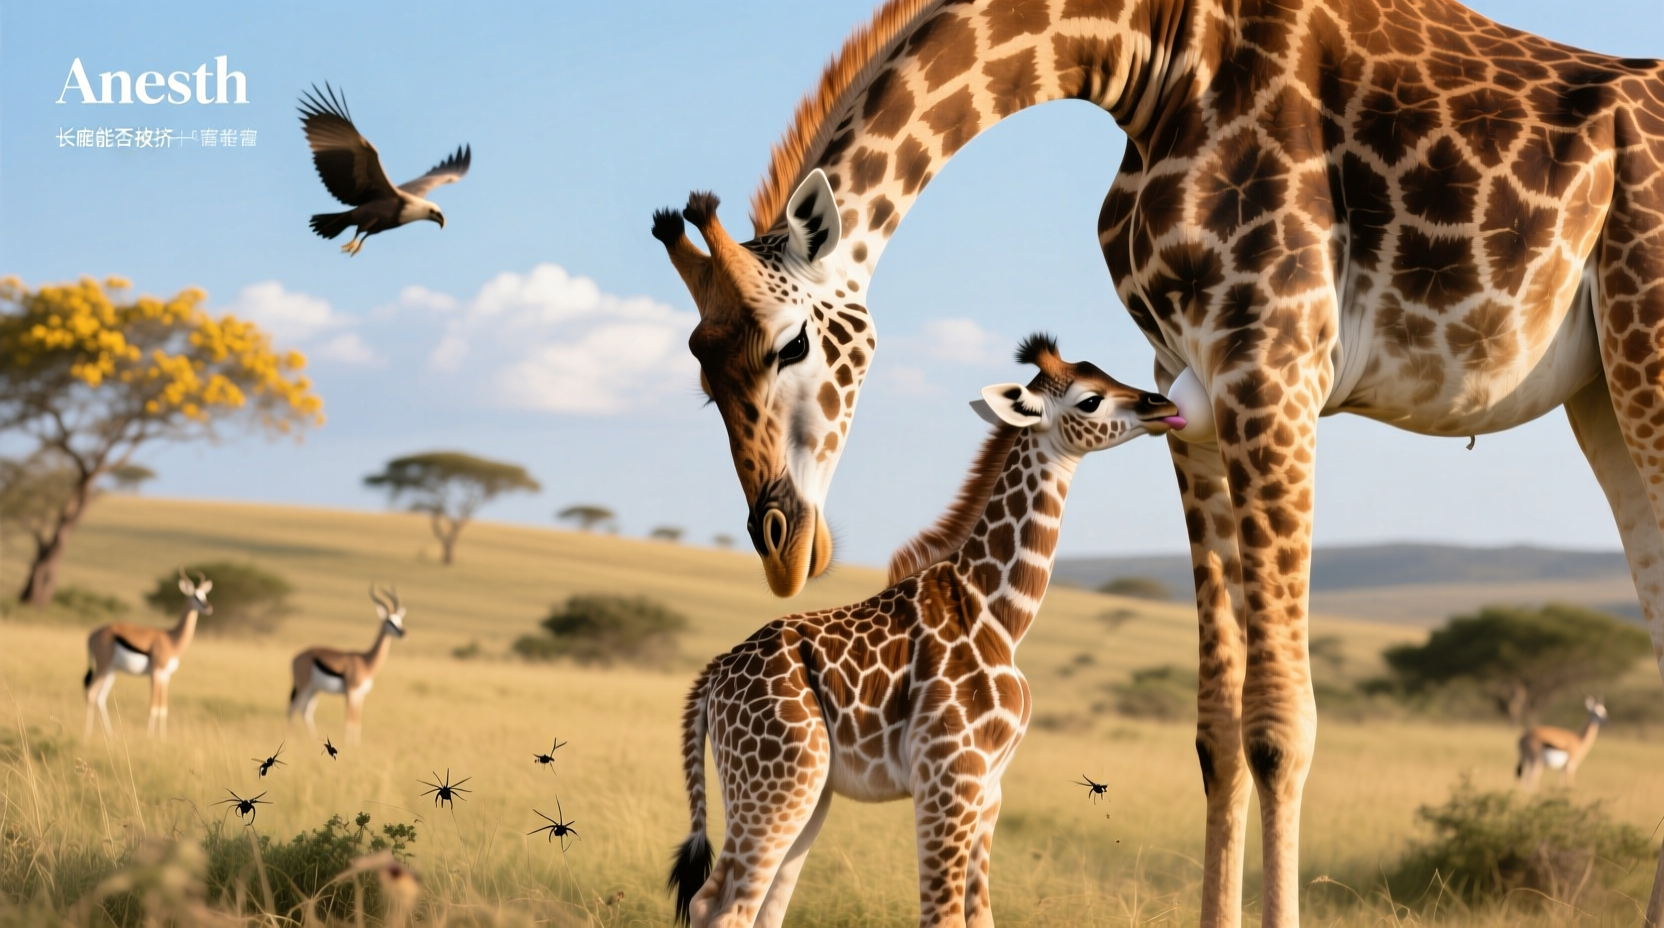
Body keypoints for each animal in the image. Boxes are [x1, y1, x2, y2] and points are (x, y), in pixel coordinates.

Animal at [668, 335, 1179, 928]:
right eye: (1090, 399)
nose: (1162, 404)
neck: (998, 613)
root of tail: (714, 676)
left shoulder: (989, 788)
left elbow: (980, 915)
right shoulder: (947, 778)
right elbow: (943, 916)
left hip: (805, 790)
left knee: (757, 904)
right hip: (777, 784)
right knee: (722, 905)